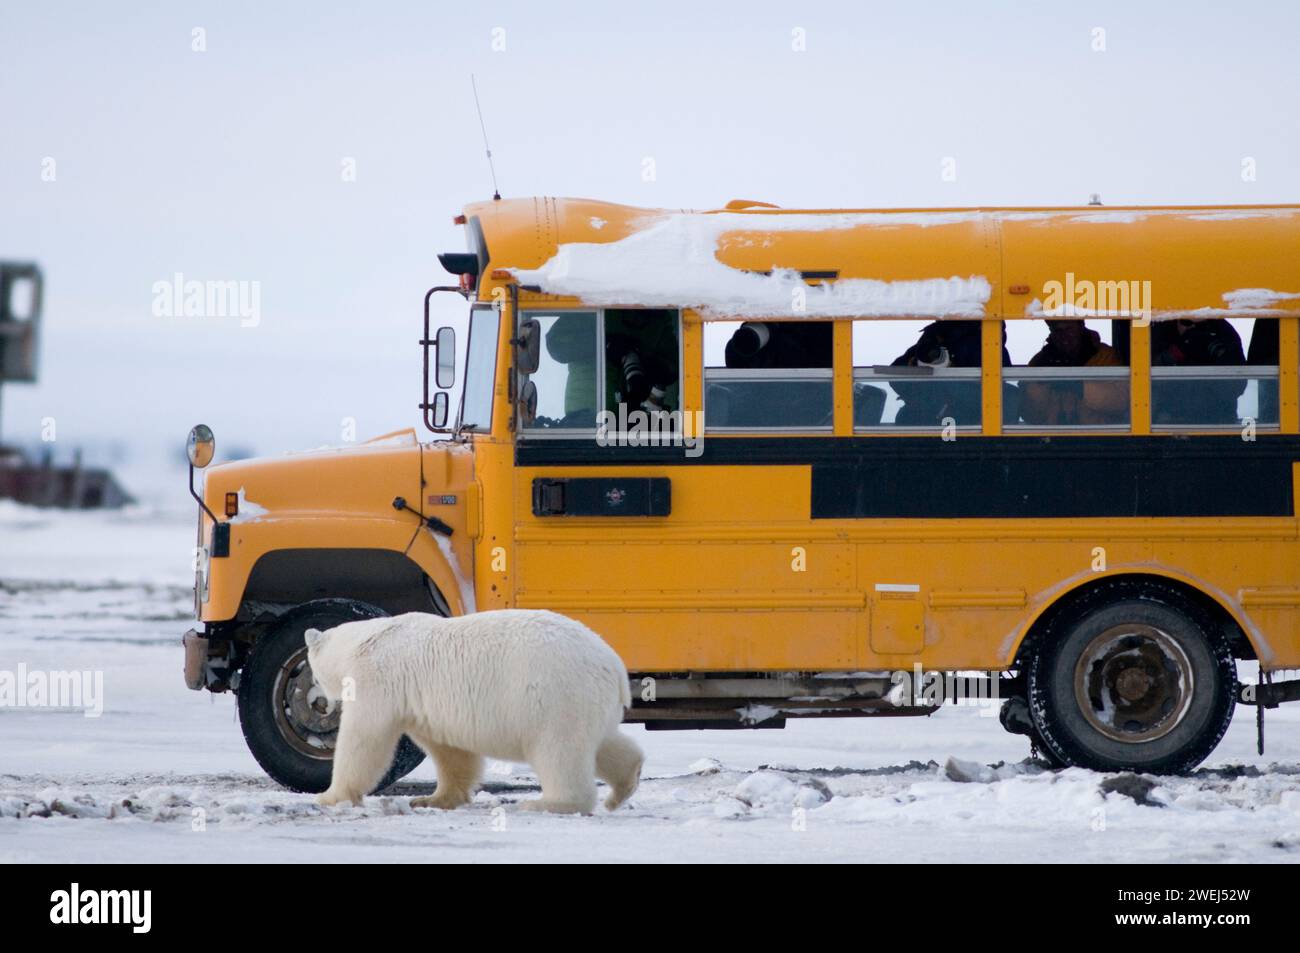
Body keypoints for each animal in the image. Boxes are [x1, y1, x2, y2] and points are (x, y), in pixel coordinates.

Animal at [304, 608, 643, 814]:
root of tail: (613, 665)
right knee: (603, 743)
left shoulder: (378, 678)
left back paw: (546, 803)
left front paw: (330, 796)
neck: (364, 642)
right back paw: (622, 787)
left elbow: (365, 737)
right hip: (587, 700)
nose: (319, 700)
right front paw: (433, 798)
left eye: (314, 672)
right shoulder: (425, 704)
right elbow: (449, 751)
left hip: (556, 694)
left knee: (559, 751)